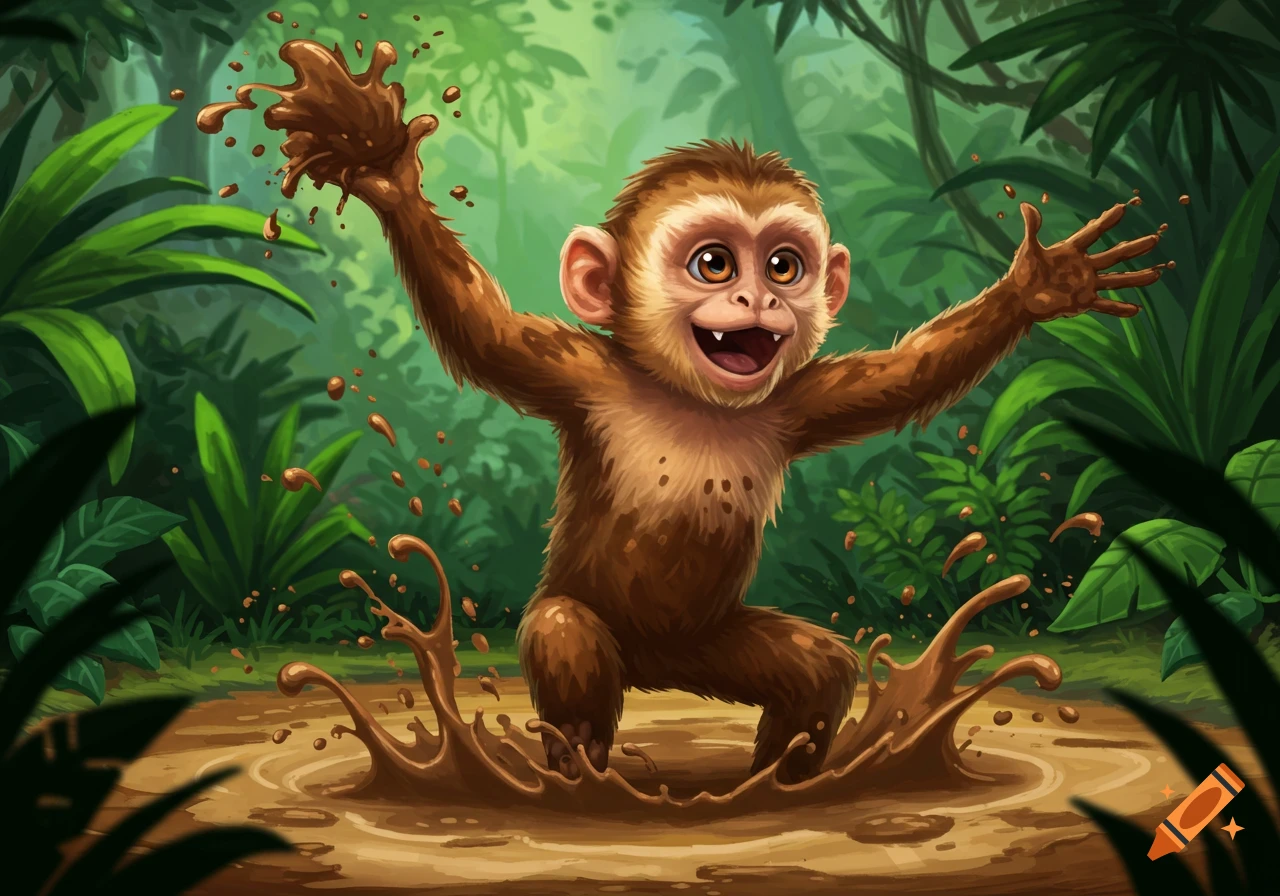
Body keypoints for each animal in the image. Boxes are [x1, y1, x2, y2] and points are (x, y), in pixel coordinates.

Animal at [252, 41, 1165, 783]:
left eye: (786, 265)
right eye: (715, 263)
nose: (761, 299)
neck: (689, 399)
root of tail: (656, 668)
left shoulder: (800, 401)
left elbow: (906, 376)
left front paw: (1039, 287)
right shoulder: (576, 373)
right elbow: (480, 328)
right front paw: (378, 161)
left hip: (711, 645)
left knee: (815, 669)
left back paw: (781, 780)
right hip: (626, 640)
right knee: (567, 632)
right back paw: (583, 775)